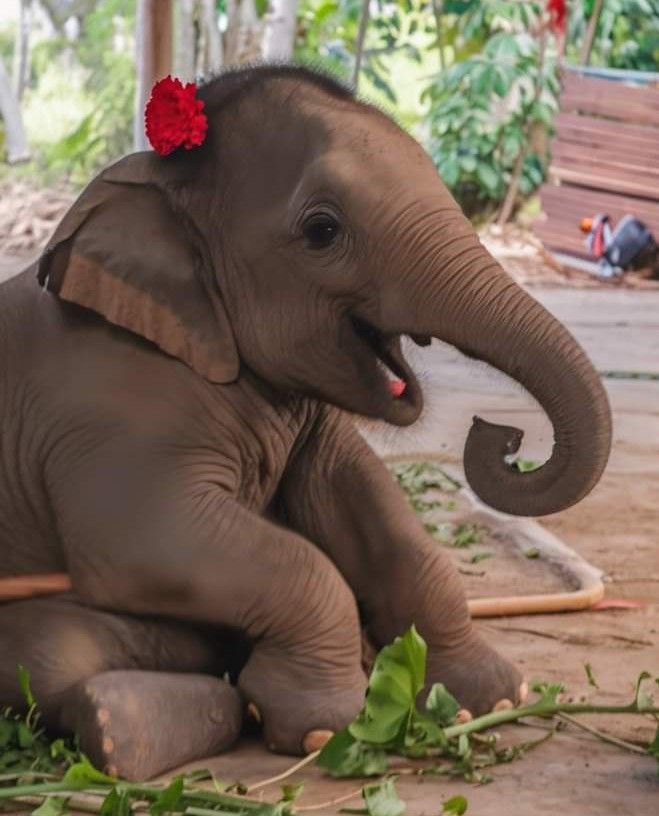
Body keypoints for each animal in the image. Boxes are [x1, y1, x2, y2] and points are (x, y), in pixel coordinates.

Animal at [0, 64, 612, 781]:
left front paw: (491, 698)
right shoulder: (107, 407)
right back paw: (124, 728)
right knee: (55, 656)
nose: (503, 434)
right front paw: (329, 727)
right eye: (322, 231)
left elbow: (364, 502)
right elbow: (148, 540)